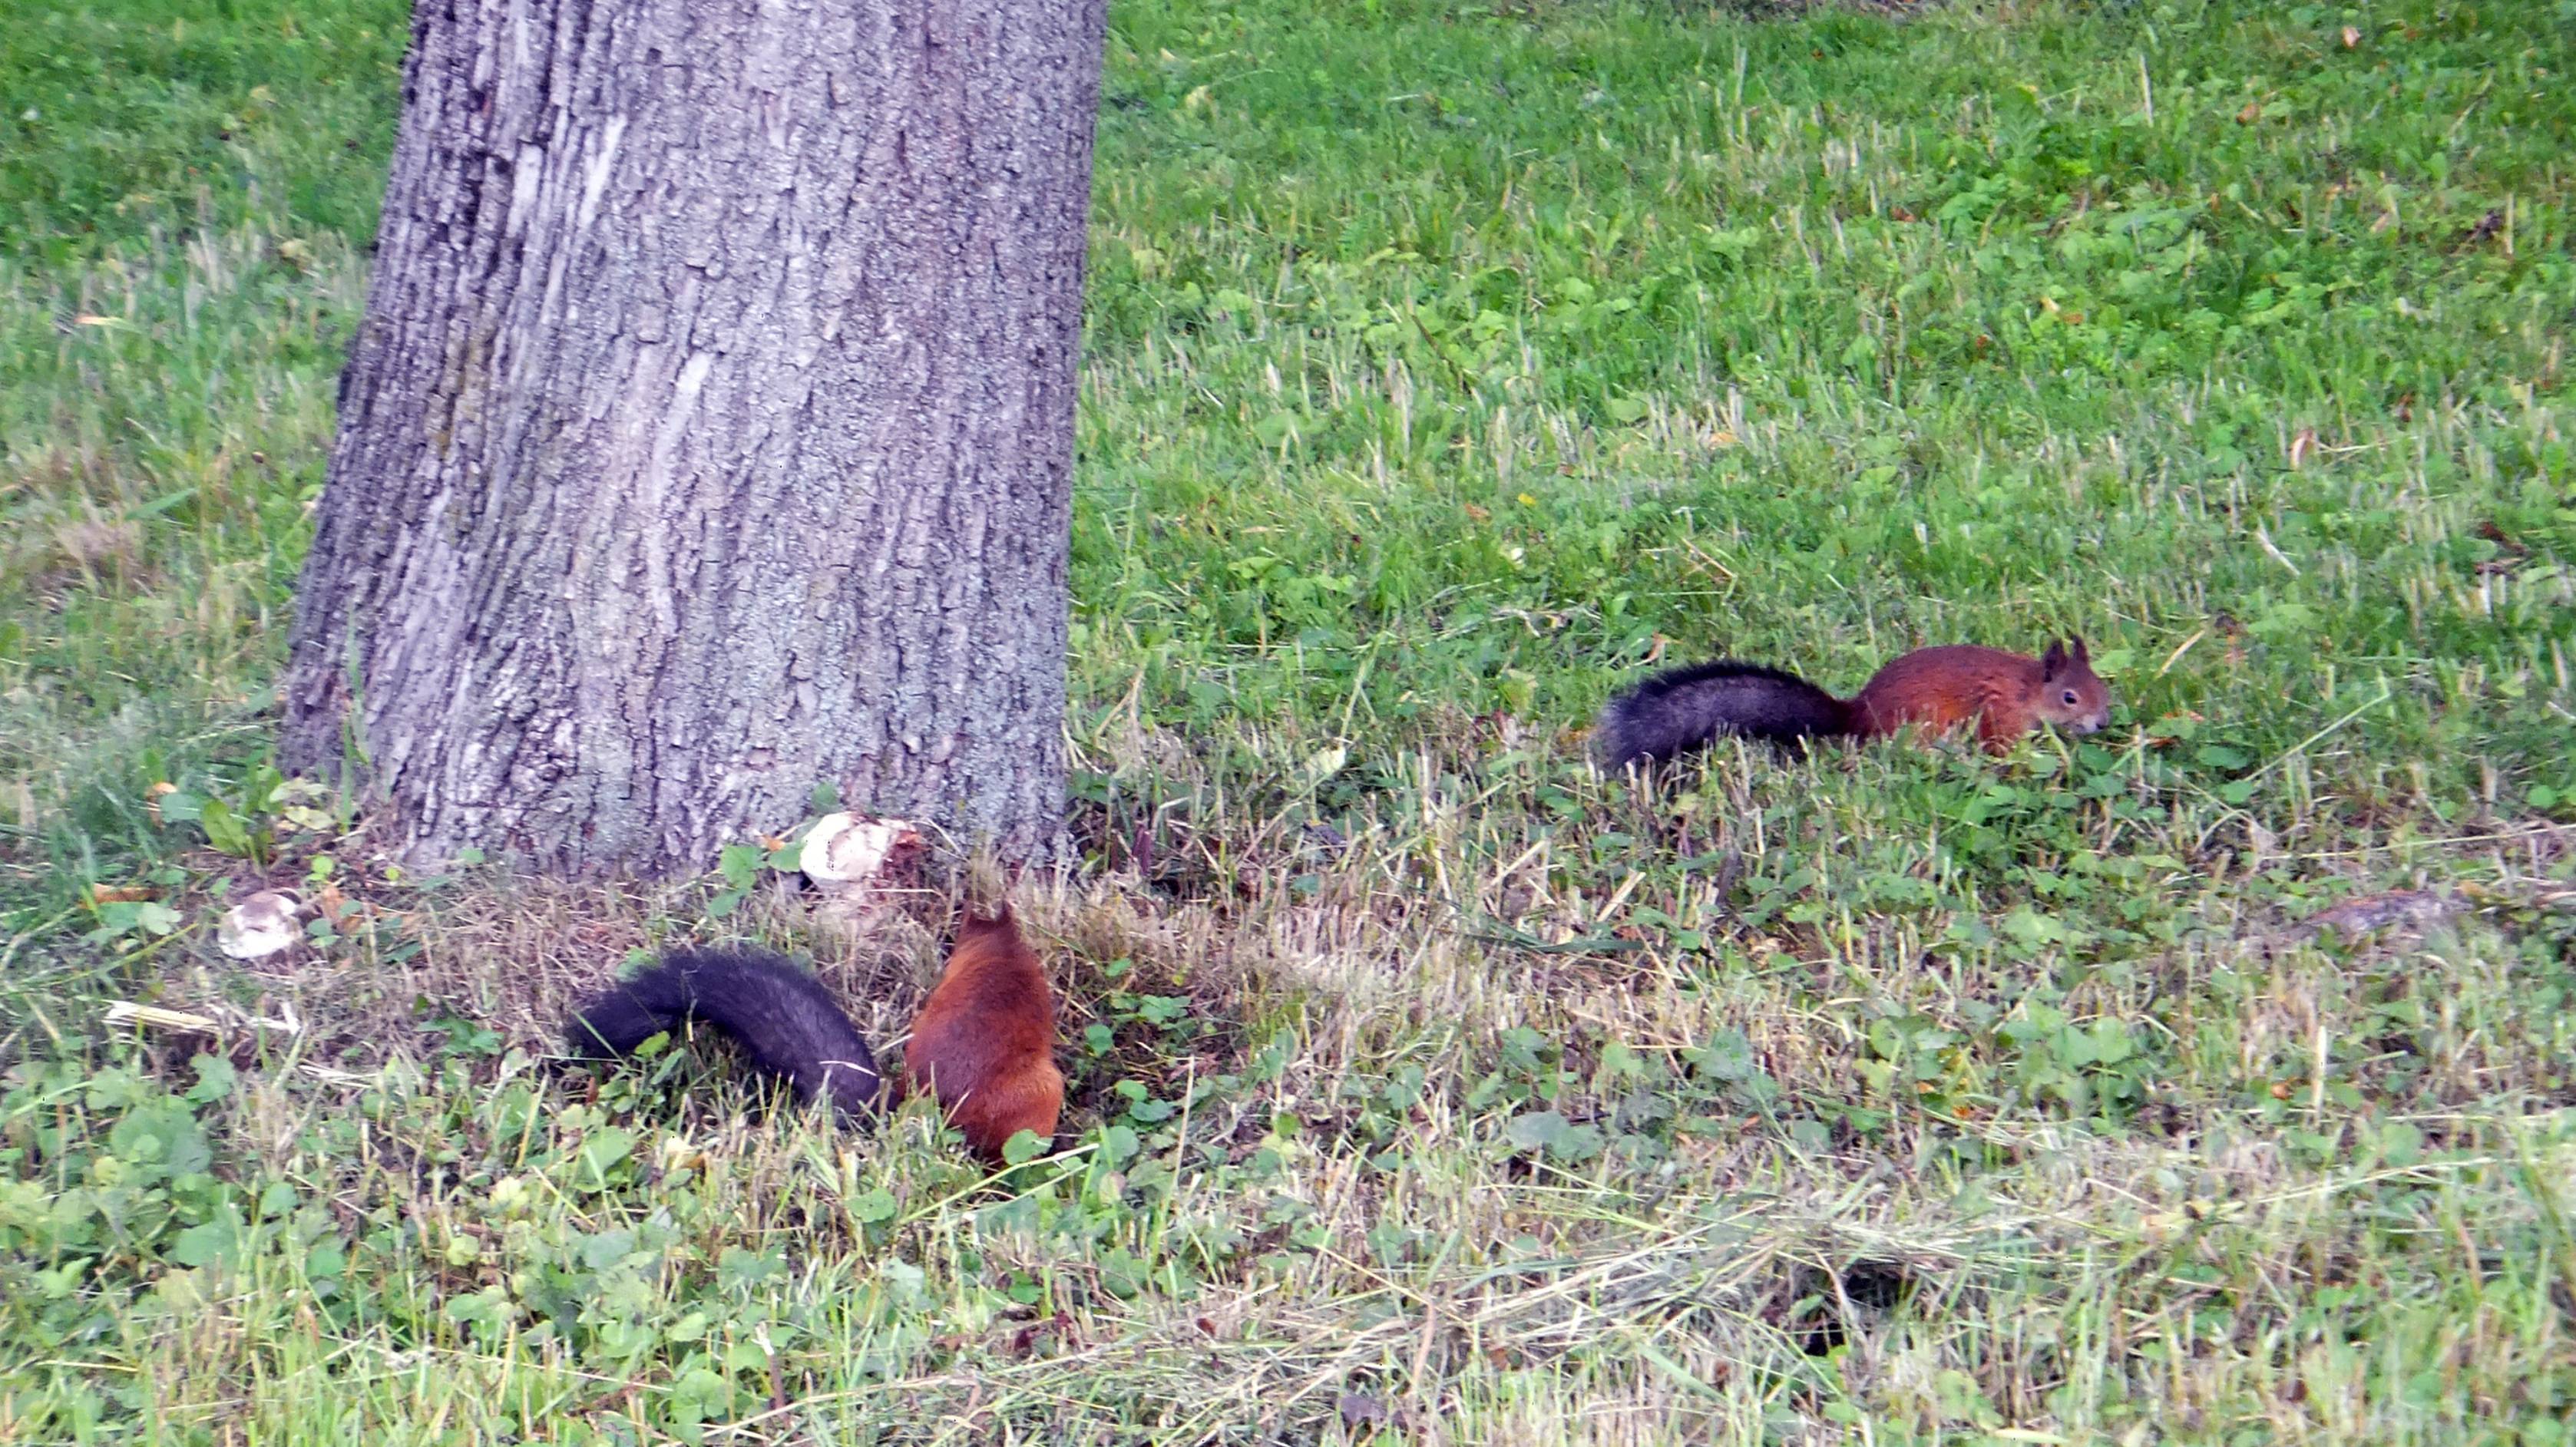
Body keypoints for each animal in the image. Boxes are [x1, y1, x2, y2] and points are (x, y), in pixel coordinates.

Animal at [1597, 633, 2122, 767]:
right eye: (2070, 697)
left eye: (2103, 687)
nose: (2103, 722)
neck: (2027, 688)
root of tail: (1857, 716)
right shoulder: (1998, 713)